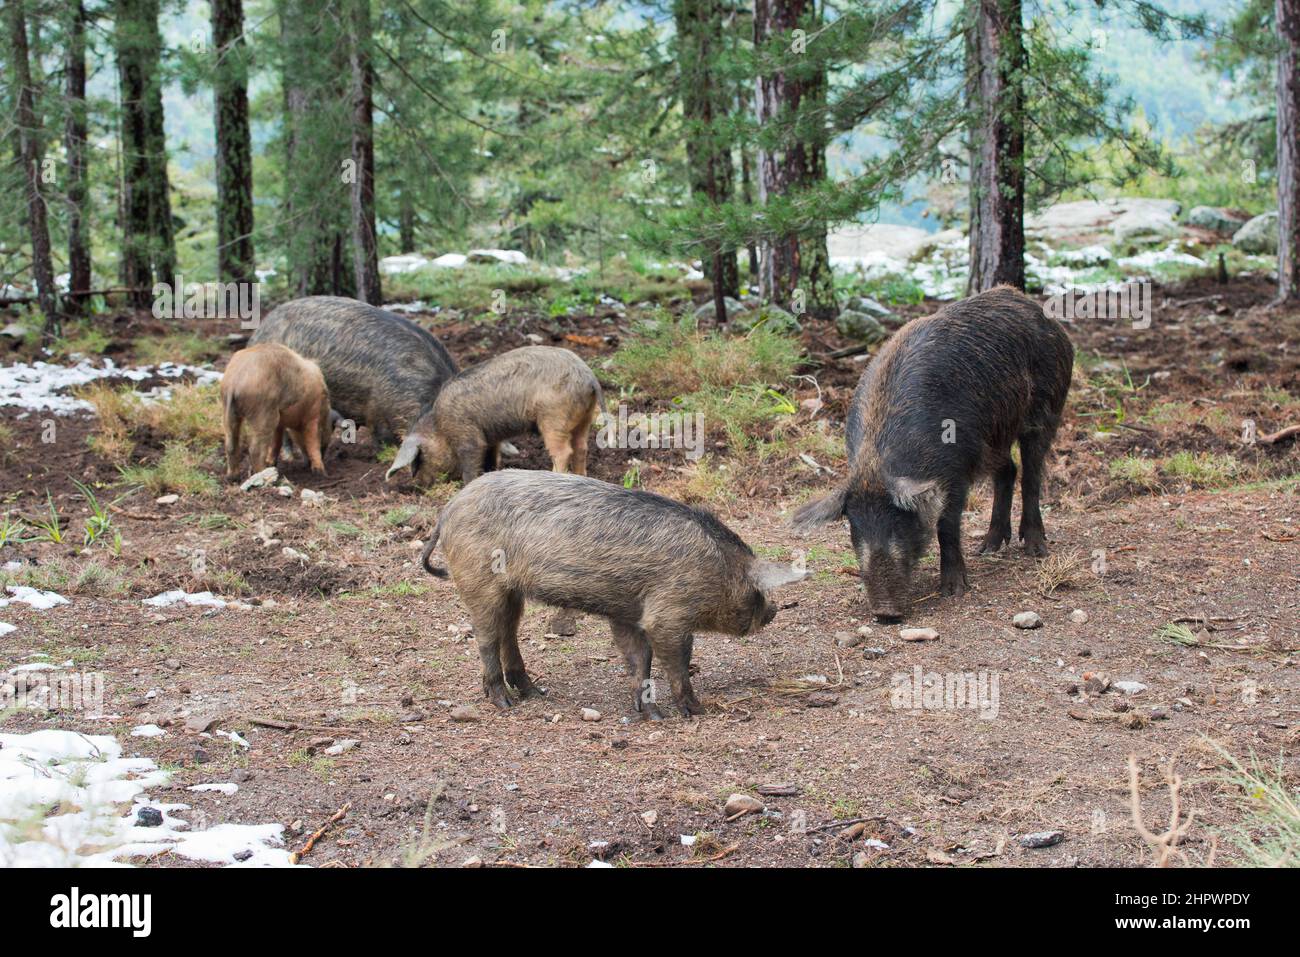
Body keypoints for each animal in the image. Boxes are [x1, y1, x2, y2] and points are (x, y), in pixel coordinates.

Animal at [221, 343, 332, 479]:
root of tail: (234, 384)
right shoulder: (312, 416)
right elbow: (312, 441)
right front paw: (322, 473)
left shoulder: (280, 423)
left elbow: (276, 441)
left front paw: (271, 463)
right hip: (263, 413)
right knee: (255, 450)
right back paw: (265, 474)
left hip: (229, 411)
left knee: (230, 444)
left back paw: (233, 477)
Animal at [386, 346, 603, 485]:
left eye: (420, 458)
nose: (421, 484)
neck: (438, 426)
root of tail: (589, 378)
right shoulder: (491, 439)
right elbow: (490, 459)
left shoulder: (466, 434)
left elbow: (471, 462)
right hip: (584, 418)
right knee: (581, 448)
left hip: (554, 418)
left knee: (563, 451)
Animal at [420, 469, 806, 716]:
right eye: (757, 592)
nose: (774, 611)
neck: (720, 567)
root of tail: (447, 510)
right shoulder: (668, 612)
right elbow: (676, 661)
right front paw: (694, 711)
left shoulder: (627, 614)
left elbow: (639, 658)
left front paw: (650, 714)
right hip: (477, 578)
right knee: (485, 636)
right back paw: (505, 704)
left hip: (511, 590)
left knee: (508, 631)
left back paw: (537, 693)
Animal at [792, 285, 1073, 621]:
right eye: (854, 527)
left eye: (901, 521)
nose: (886, 612)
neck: (877, 464)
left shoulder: (955, 471)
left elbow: (947, 525)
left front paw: (954, 591)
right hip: (994, 437)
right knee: (1008, 471)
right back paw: (987, 548)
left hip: (1046, 408)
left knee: (1031, 473)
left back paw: (1035, 550)